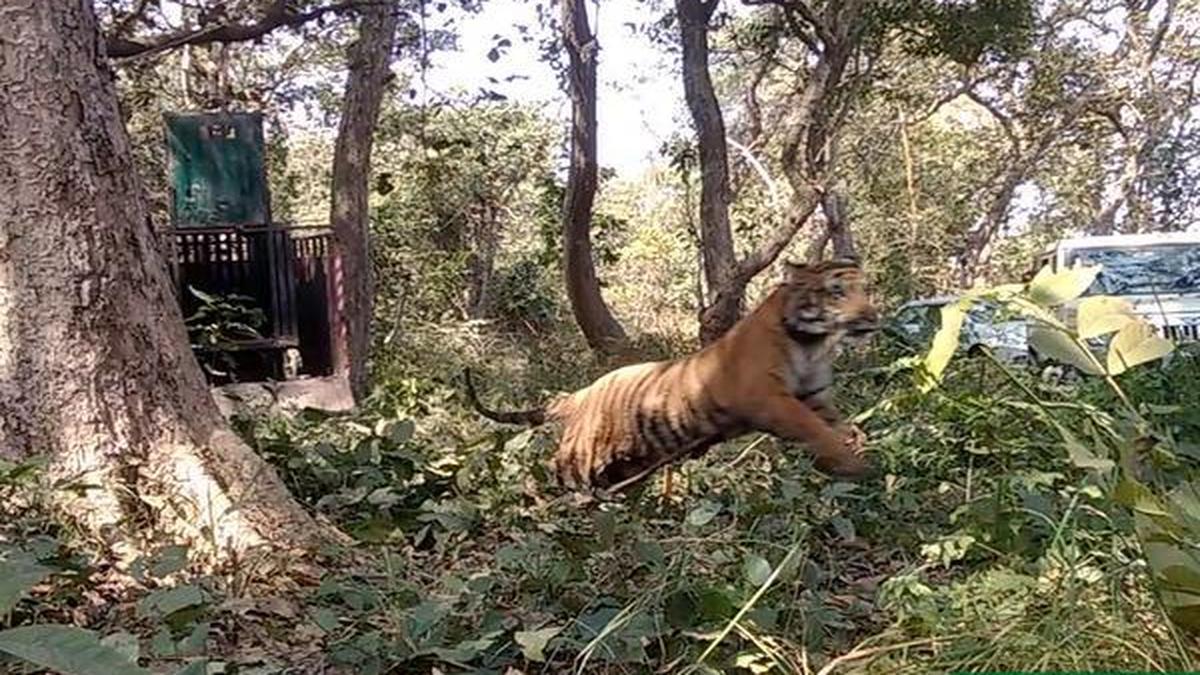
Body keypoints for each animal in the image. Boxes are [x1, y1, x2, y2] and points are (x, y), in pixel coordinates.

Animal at [463, 258, 880, 492]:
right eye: (837, 291)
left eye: (865, 289)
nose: (872, 316)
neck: (811, 342)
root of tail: (582, 393)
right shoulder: (770, 398)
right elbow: (815, 430)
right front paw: (855, 465)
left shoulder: (814, 396)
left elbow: (837, 423)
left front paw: (861, 443)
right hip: (579, 454)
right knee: (553, 471)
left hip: (632, 456)